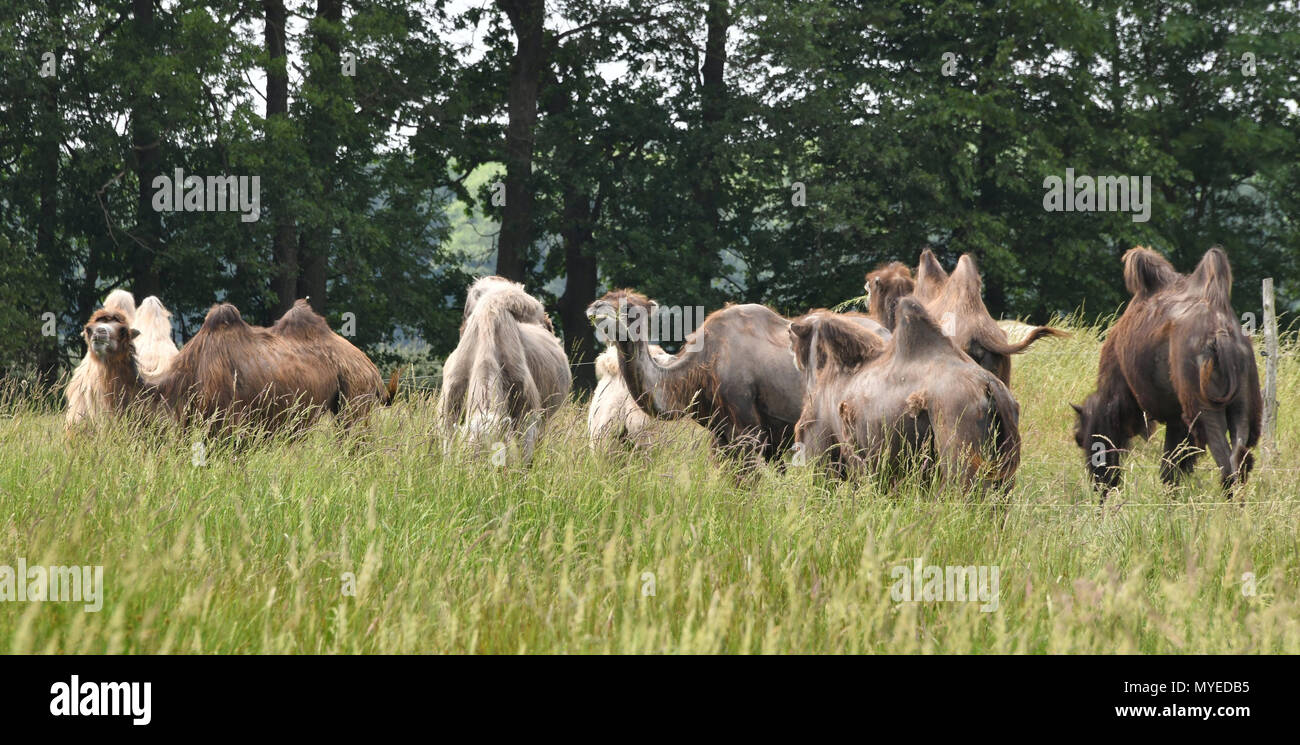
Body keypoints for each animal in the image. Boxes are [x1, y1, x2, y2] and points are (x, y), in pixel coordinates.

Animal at [74, 299, 394, 435]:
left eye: (123, 331)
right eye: (90, 327)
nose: (100, 334)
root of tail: (372, 369)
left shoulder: (229, 422)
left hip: (356, 397)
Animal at [1072, 246, 1261, 492]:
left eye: (1082, 437)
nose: (1101, 486)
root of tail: (1221, 333)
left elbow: (1170, 468)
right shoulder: (1177, 420)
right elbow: (1172, 467)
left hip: (1207, 411)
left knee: (1226, 461)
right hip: (1241, 407)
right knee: (1240, 457)